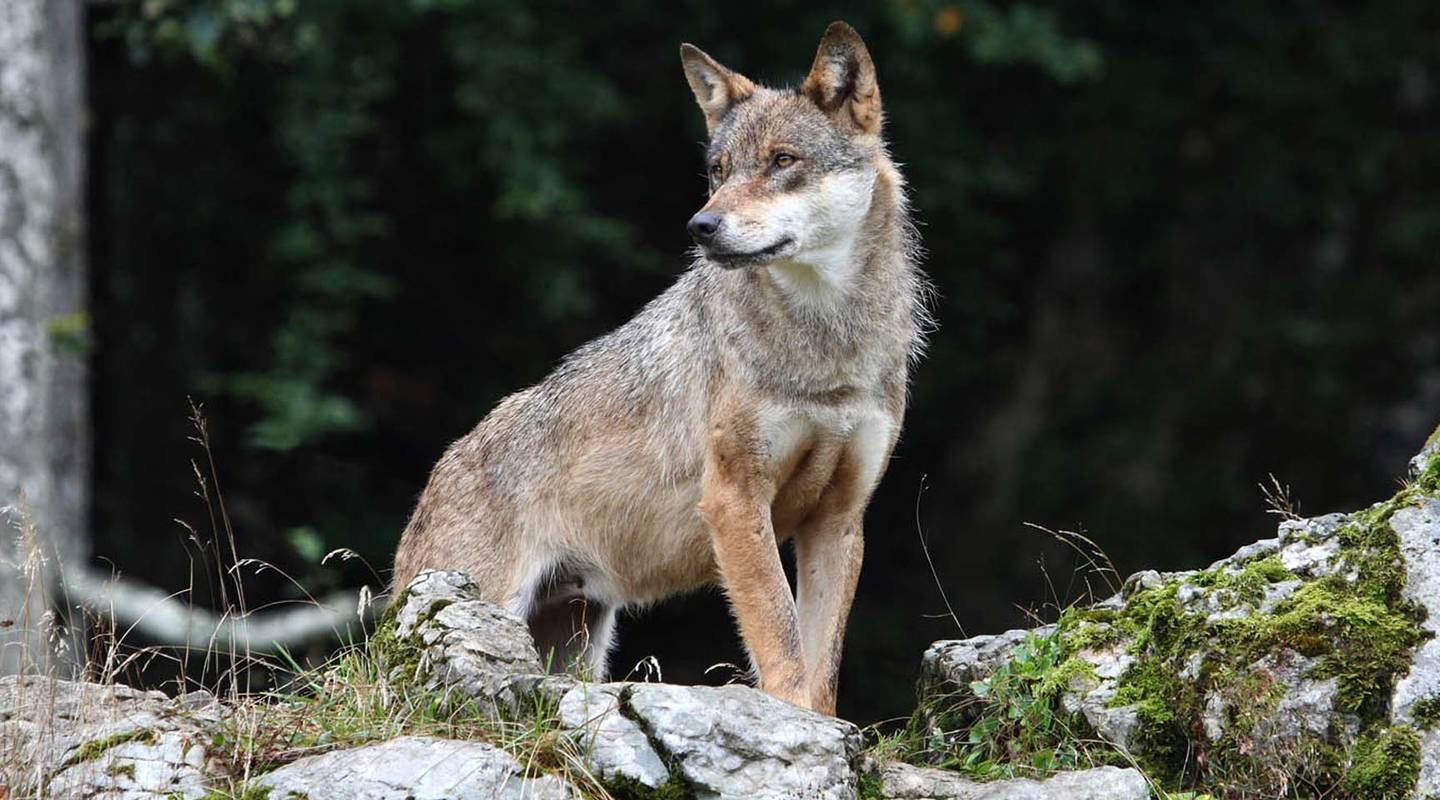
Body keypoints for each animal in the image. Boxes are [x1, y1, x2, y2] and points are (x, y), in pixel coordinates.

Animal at [392, 21, 929, 714]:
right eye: (718, 171)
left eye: (783, 161)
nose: (701, 225)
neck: (825, 345)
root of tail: (437, 475)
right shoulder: (734, 501)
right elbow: (782, 649)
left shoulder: (837, 521)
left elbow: (822, 671)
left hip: (574, 649)